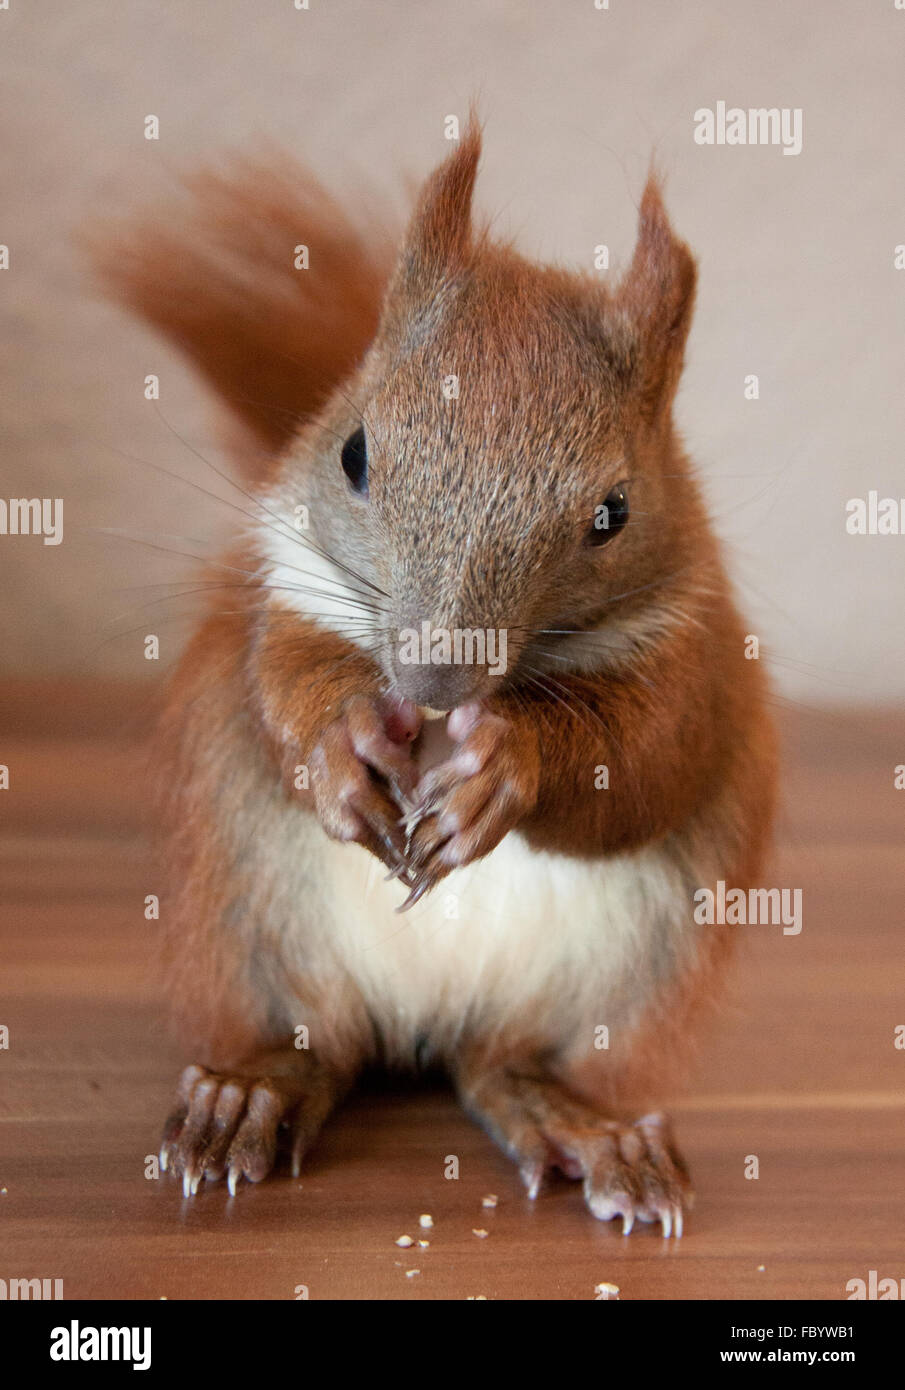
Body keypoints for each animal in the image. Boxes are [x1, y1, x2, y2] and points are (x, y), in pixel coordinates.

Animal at [95, 119, 776, 1235]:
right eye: (352, 453)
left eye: (614, 512)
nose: (430, 683)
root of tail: (419, 1024)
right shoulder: (281, 590)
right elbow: (280, 682)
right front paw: (340, 750)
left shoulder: (695, 654)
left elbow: (645, 764)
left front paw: (508, 763)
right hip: (247, 915)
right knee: (314, 1039)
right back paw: (247, 1096)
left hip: (625, 973)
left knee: (501, 1061)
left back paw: (583, 1126)